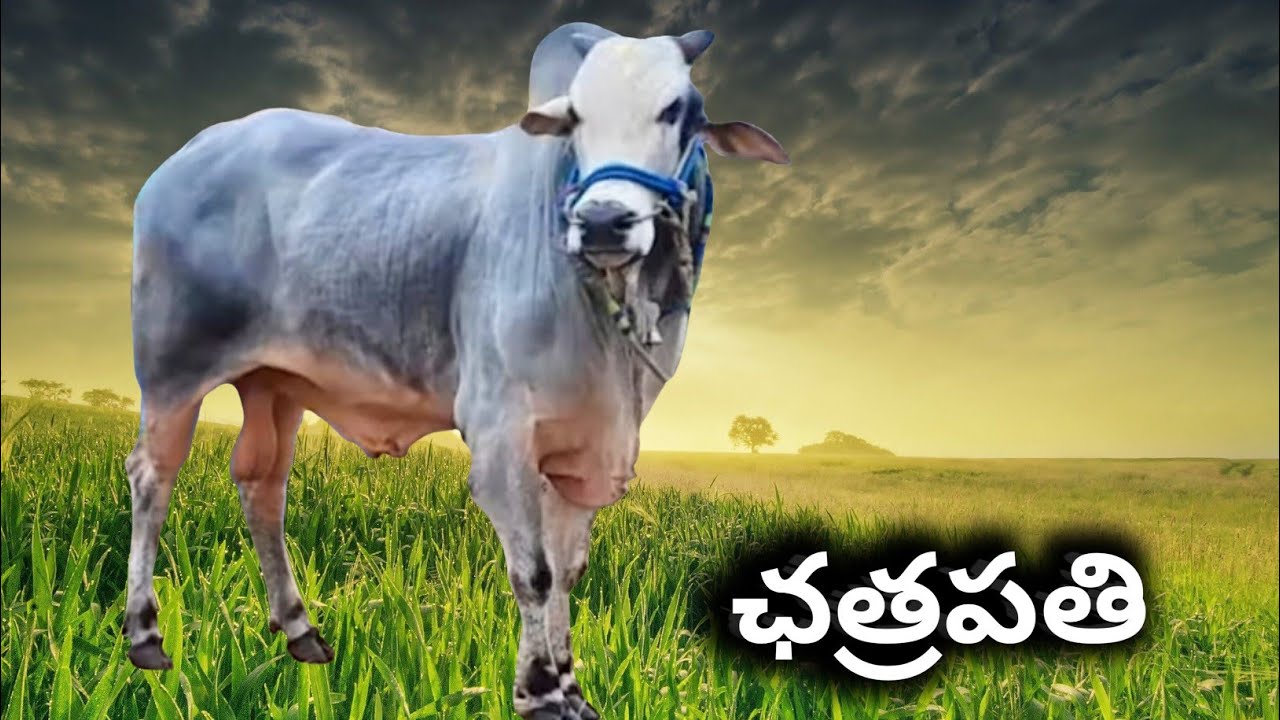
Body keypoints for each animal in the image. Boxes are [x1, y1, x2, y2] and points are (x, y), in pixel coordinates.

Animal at [123, 21, 787, 719]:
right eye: (575, 117)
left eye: (681, 112)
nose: (604, 221)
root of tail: (189, 153)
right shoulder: (500, 433)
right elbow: (535, 574)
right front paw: (538, 692)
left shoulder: (587, 447)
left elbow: (566, 572)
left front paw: (569, 689)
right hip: (172, 369)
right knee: (152, 476)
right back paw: (145, 633)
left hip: (274, 383)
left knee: (262, 483)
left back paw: (299, 628)